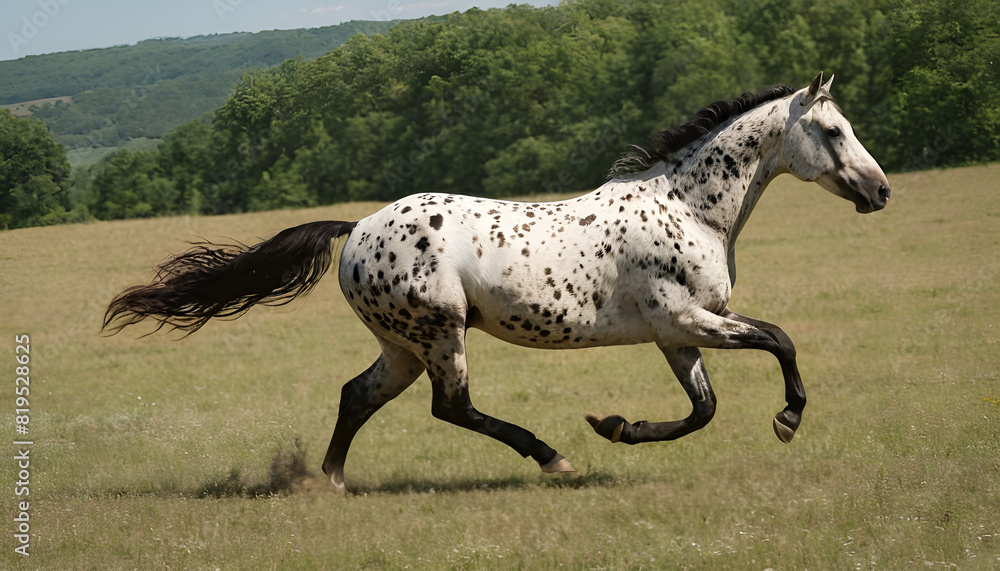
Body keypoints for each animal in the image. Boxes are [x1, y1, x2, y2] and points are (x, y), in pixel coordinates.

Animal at [103, 72, 890, 491]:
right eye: (833, 131)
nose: (881, 191)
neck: (688, 208)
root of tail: (356, 228)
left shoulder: (676, 335)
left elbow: (703, 409)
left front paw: (619, 425)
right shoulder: (690, 321)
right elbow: (779, 341)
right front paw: (787, 419)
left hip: (401, 345)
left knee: (358, 395)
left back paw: (329, 481)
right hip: (439, 332)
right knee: (451, 407)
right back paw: (552, 457)